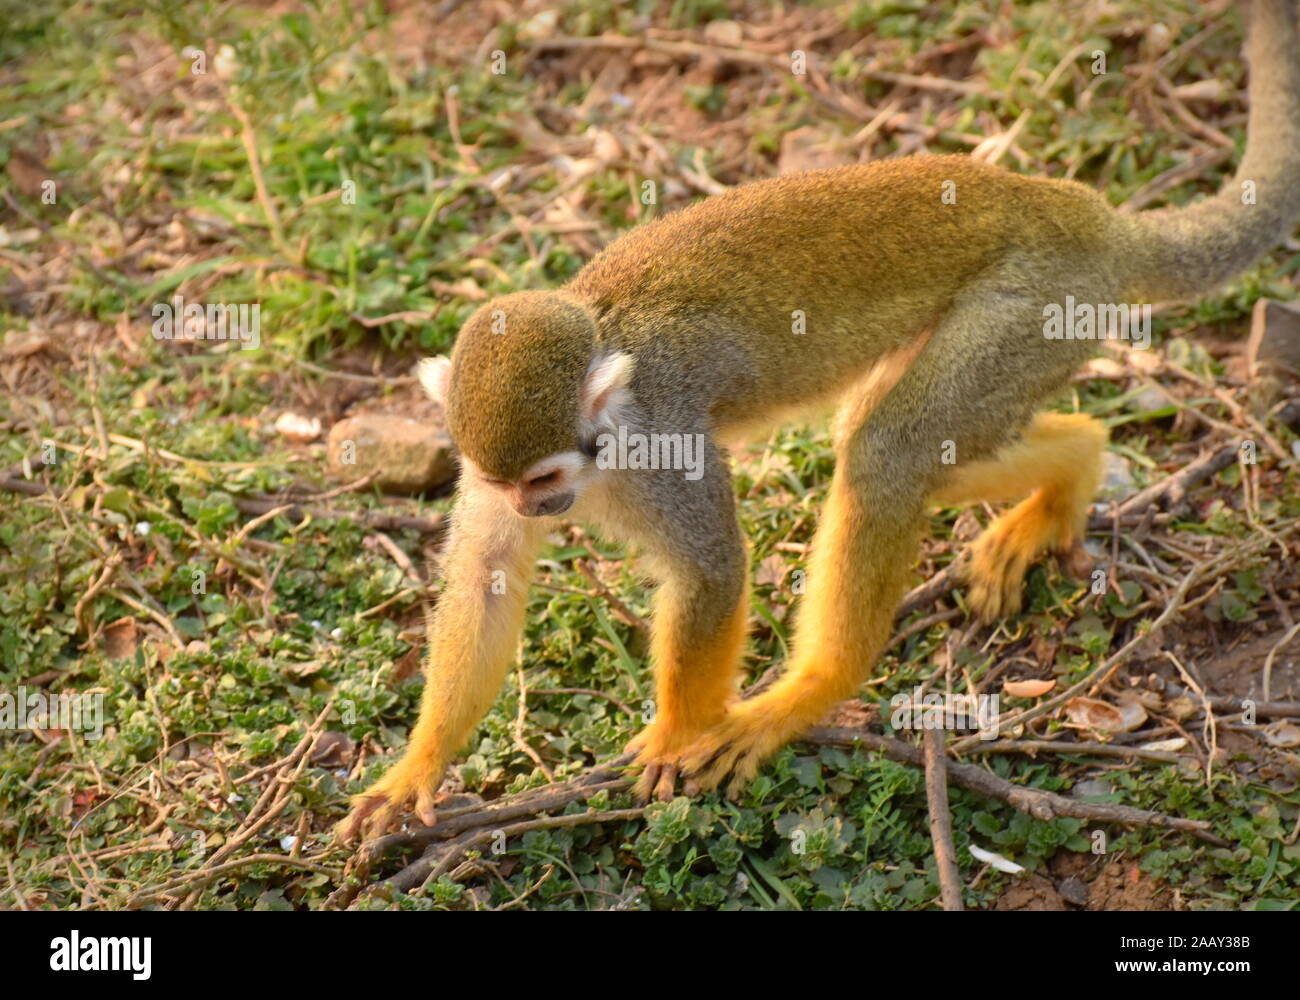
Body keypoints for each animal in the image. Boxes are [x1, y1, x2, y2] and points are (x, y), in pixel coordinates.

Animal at [339, 0, 1300, 840]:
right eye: (503, 481)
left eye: (545, 477)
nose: (534, 506)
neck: (605, 437)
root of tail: (1080, 210)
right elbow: (483, 584)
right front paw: (416, 769)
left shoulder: (663, 445)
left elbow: (712, 573)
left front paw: (678, 733)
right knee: (898, 438)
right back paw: (1073, 469)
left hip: (1035, 304)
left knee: (887, 450)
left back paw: (811, 690)